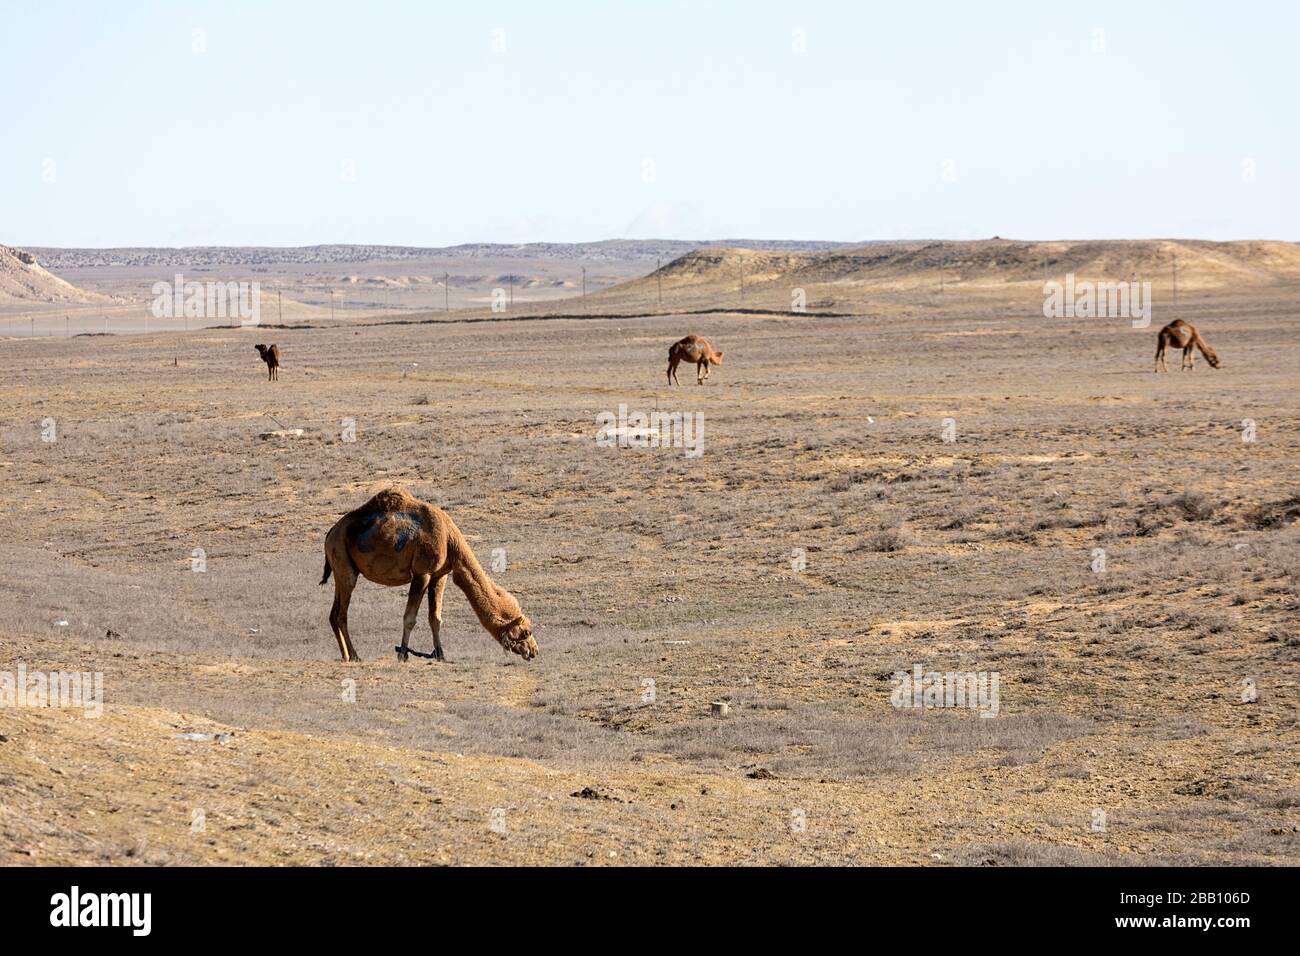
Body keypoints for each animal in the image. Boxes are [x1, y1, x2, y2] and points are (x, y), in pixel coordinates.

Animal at [320, 487, 537, 664]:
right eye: (526, 632)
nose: (534, 651)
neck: (450, 540)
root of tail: (330, 534)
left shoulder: (439, 575)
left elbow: (435, 618)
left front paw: (440, 654)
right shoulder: (422, 573)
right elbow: (410, 618)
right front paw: (403, 655)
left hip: (341, 568)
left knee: (333, 614)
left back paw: (345, 655)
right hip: (344, 563)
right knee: (341, 614)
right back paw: (355, 655)